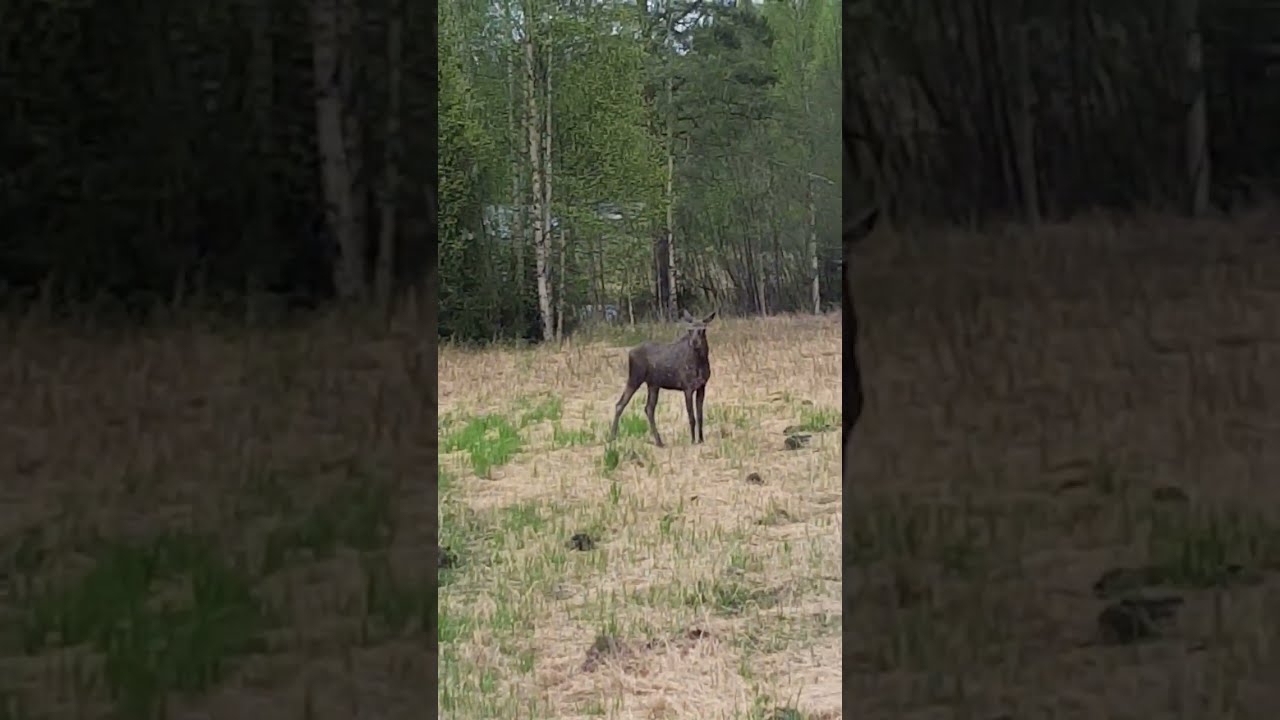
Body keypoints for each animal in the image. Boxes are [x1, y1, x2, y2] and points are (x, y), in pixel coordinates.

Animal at [609, 310, 717, 447]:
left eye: (703, 330)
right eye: (689, 330)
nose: (694, 342)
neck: (700, 363)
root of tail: (630, 352)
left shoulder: (702, 386)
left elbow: (700, 416)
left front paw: (701, 439)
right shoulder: (687, 387)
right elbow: (691, 417)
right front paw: (693, 441)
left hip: (653, 384)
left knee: (648, 408)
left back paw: (659, 441)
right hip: (635, 378)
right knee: (621, 404)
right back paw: (612, 437)